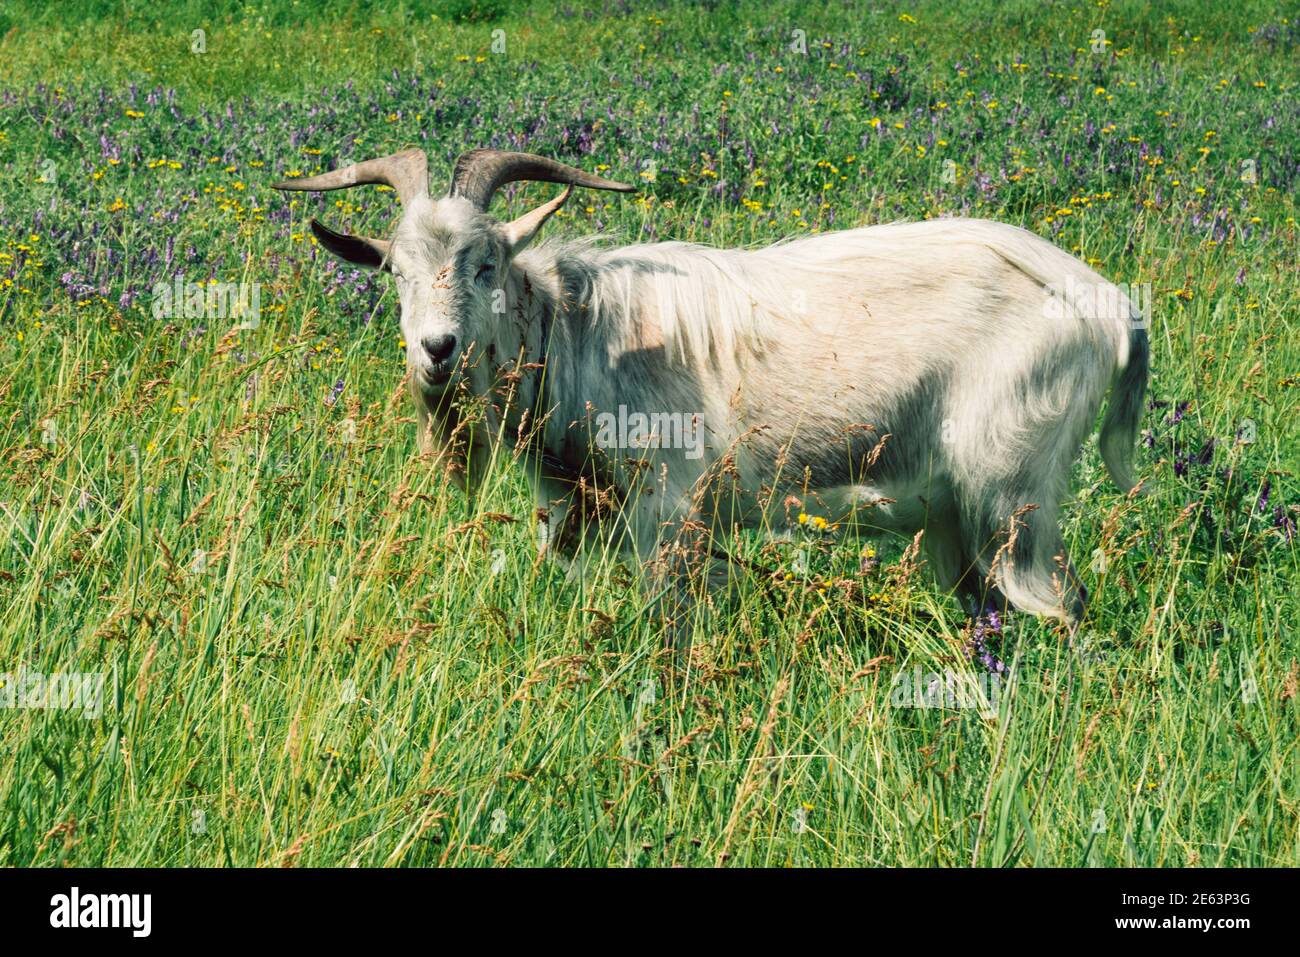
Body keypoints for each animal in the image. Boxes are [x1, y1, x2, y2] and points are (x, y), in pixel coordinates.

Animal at [274, 148, 1148, 630]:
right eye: (396, 271)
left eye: (487, 262)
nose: (437, 351)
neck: (582, 330)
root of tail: (1108, 303)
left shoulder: (670, 511)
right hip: (961, 520)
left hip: (1010, 493)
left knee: (1058, 604)